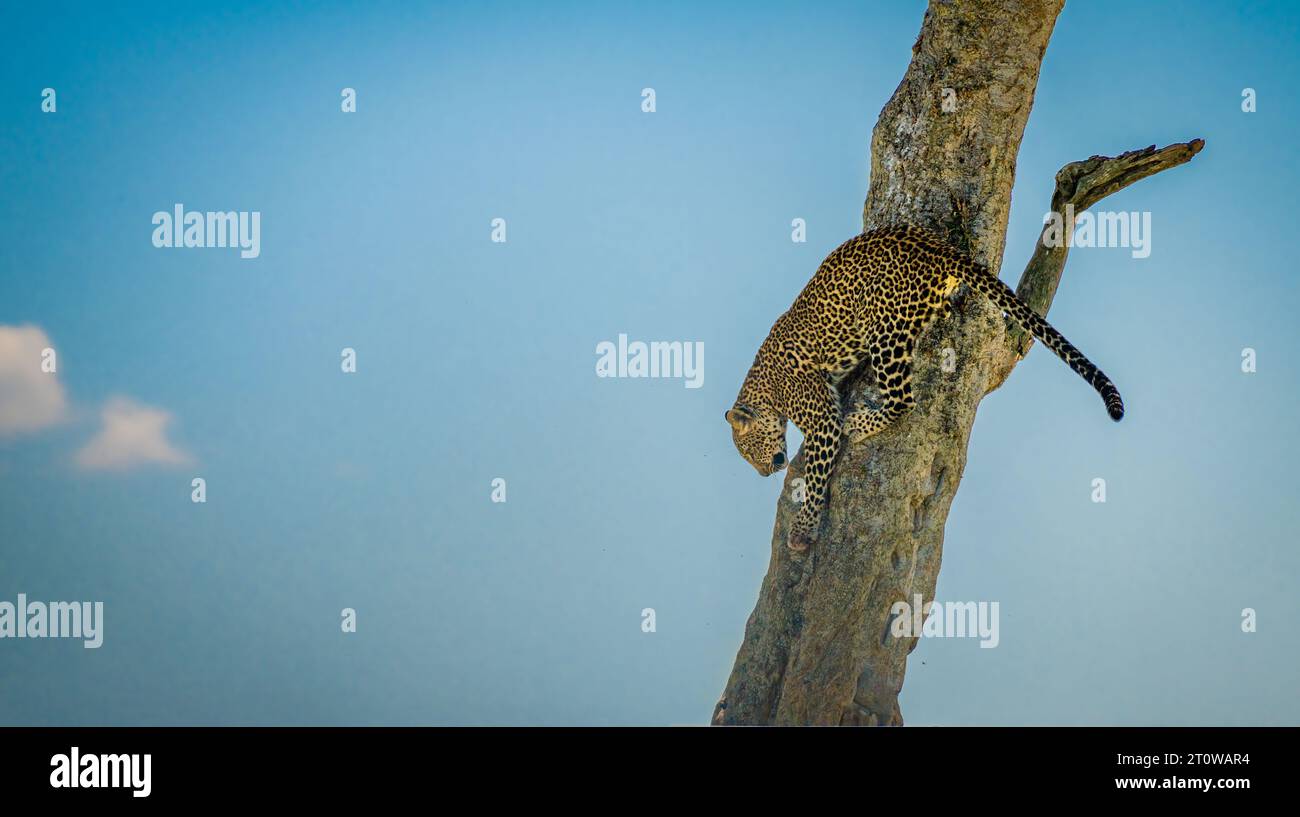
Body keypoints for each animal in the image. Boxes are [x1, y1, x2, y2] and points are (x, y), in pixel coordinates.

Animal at [725, 224, 1124, 552]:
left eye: (748, 450)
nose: (765, 473)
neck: (762, 388)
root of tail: (934, 247)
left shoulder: (822, 420)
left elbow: (815, 477)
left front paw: (802, 530)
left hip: (884, 332)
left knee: (903, 399)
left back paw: (860, 423)